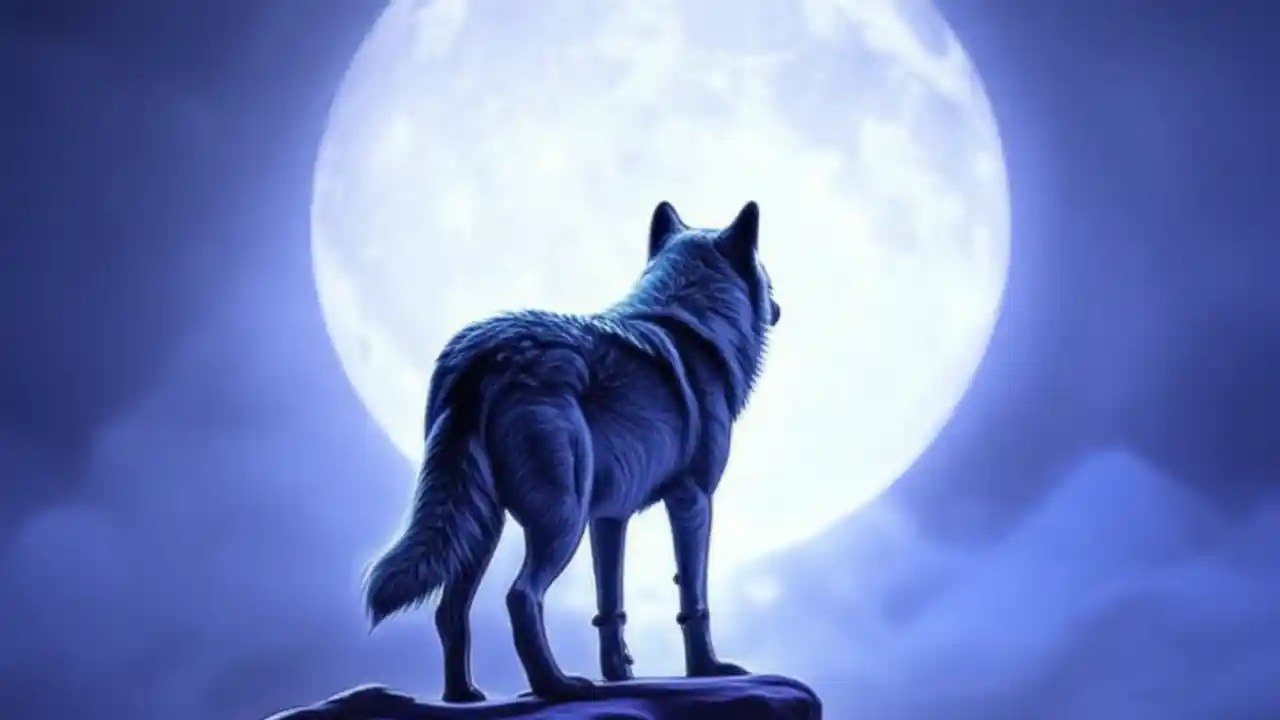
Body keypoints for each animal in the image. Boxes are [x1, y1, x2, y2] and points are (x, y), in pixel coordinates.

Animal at [364, 200, 781, 702]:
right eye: (769, 277)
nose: (781, 307)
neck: (694, 328)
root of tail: (481, 356)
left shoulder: (610, 517)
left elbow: (610, 607)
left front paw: (619, 676)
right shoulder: (693, 500)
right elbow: (693, 597)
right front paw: (707, 669)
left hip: (481, 526)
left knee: (450, 611)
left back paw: (463, 695)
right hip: (561, 520)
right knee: (521, 596)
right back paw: (557, 686)